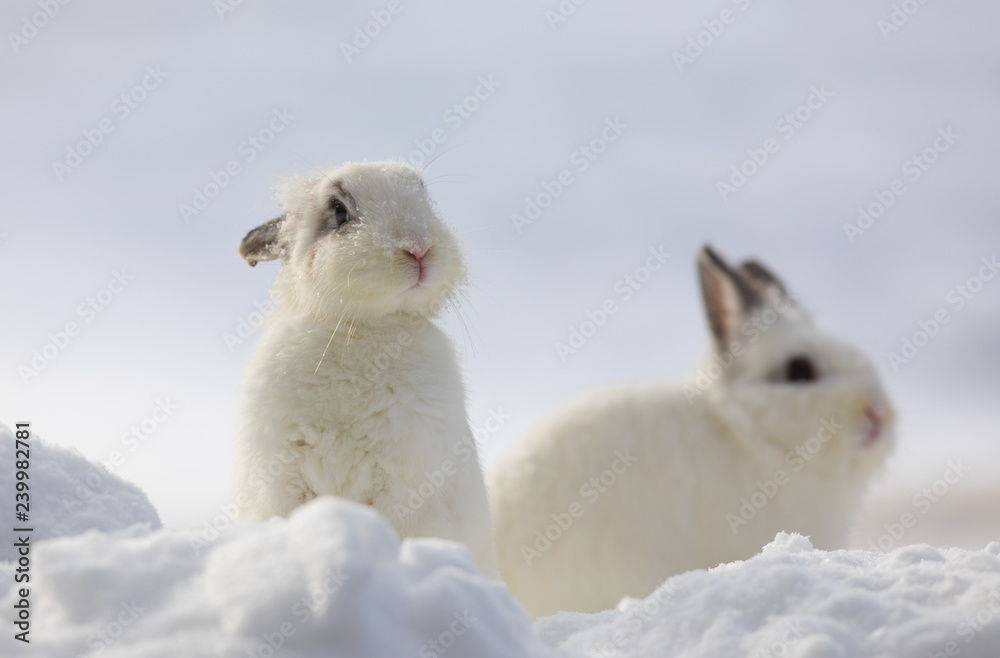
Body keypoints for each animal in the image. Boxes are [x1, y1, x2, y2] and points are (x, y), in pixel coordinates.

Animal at [232, 160, 497, 577]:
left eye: (426, 200)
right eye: (340, 211)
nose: (419, 249)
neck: (361, 330)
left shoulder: (407, 488)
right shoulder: (280, 482)